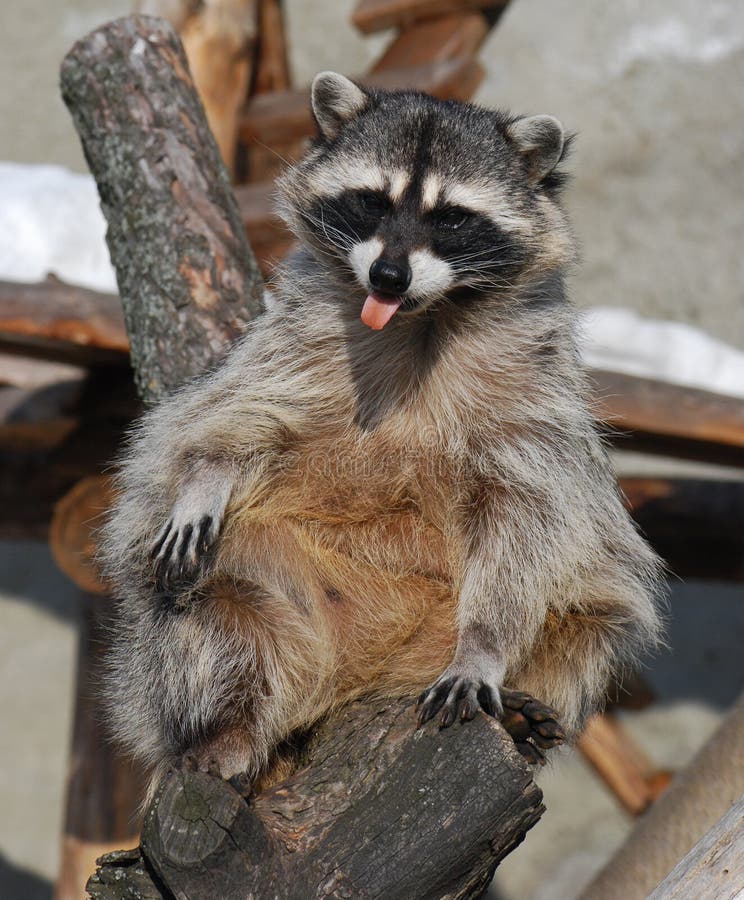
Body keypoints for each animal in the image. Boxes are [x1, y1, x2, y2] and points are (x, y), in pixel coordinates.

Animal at [101, 72, 663, 791]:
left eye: (451, 216)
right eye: (372, 201)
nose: (387, 275)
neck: (418, 317)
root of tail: (358, 675)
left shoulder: (536, 404)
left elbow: (528, 524)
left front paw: (483, 645)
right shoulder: (293, 344)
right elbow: (225, 416)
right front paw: (206, 475)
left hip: (543, 621)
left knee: (589, 623)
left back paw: (511, 706)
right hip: (253, 598)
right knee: (210, 613)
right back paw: (227, 726)